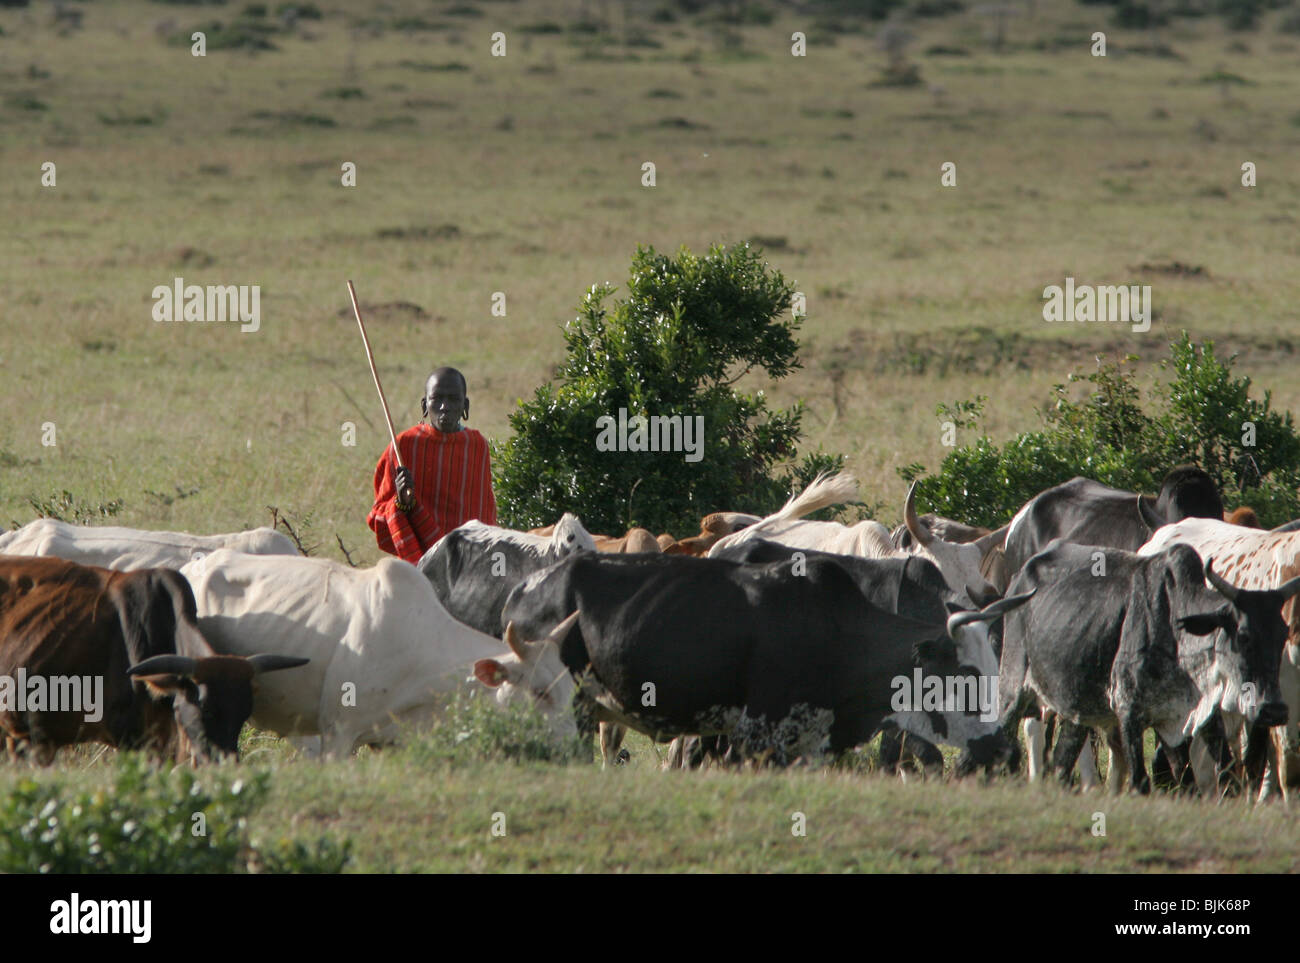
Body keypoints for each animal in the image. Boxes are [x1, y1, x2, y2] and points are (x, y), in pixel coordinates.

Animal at [998, 540, 1298, 794]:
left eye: (1283, 634)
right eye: (1243, 635)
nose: (1274, 710)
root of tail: (1018, 577)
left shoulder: (1196, 717)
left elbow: (1216, 778)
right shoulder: (1128, 712)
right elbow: (1140, 782)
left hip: (1077, 712)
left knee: (1062, 763)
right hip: (1012, 689)